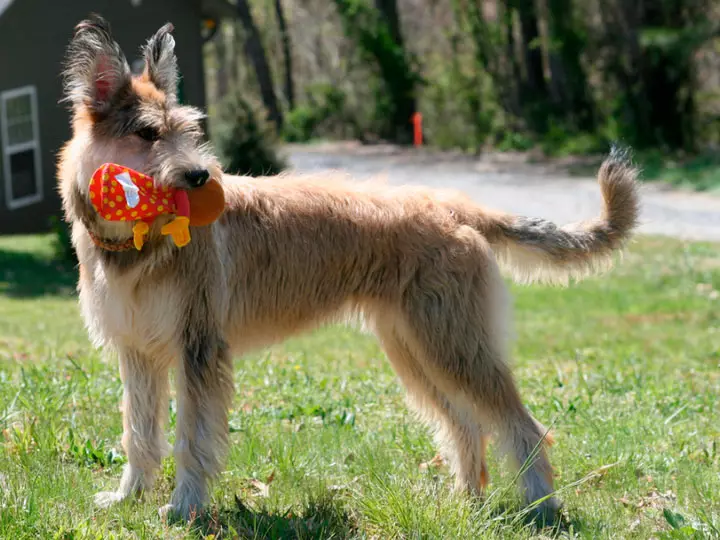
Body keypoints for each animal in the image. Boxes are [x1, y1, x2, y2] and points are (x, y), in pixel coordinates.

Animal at [57, 15, 640, 524]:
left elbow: (191, 439)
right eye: (147, 133)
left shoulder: (197, 351)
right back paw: (465, 502)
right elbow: (139, 433)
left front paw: (184, 508)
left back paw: (541, 507)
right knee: (465, 425)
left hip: (454, 347)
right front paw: (128, 496)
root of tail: (455, 207)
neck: (138, 245)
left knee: (522, 426)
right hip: (416, 350)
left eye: (187, 129)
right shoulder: (136, 354)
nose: (202, 177)